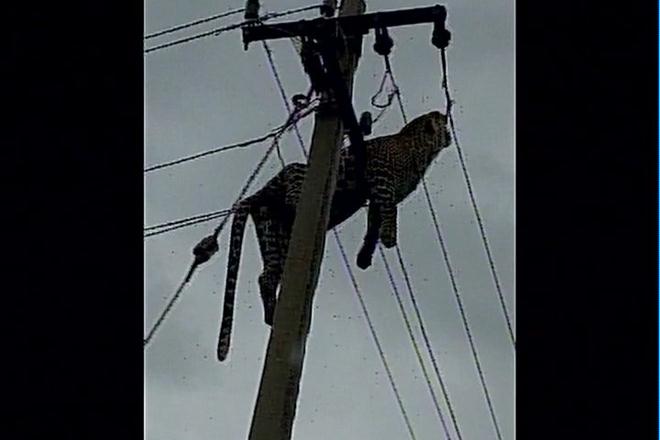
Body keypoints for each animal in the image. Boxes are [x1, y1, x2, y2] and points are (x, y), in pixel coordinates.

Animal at [216, 110, 451, 361]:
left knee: (266, 276)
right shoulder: (381, 177)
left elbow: (373, 226)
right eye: (443, 124)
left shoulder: (377, 199)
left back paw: (271, 314)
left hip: (275, 236)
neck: (421, 150)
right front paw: (389, 237)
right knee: (294, 184)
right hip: (294, 179)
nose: (449, 135)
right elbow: (389, 208)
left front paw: (365, 256)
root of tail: (260, 193)